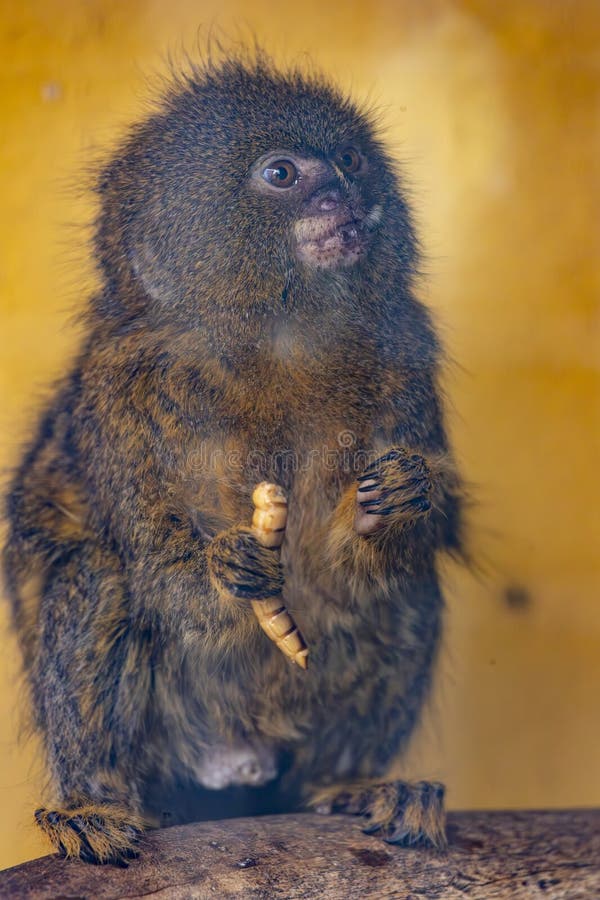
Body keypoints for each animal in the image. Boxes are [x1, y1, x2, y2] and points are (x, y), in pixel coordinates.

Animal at [2, 50, 464, 865]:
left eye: (350, 160)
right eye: (282, 174)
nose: (348, 196)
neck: (277, 337)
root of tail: (237, 762)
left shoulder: (405, 352)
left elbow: (394, 545)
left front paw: (403, 502)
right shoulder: (119, 395)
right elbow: (158, 568)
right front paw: (229, 569)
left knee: (409, 589)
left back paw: (348, 783)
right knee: (95, 575)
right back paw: (94, 801)